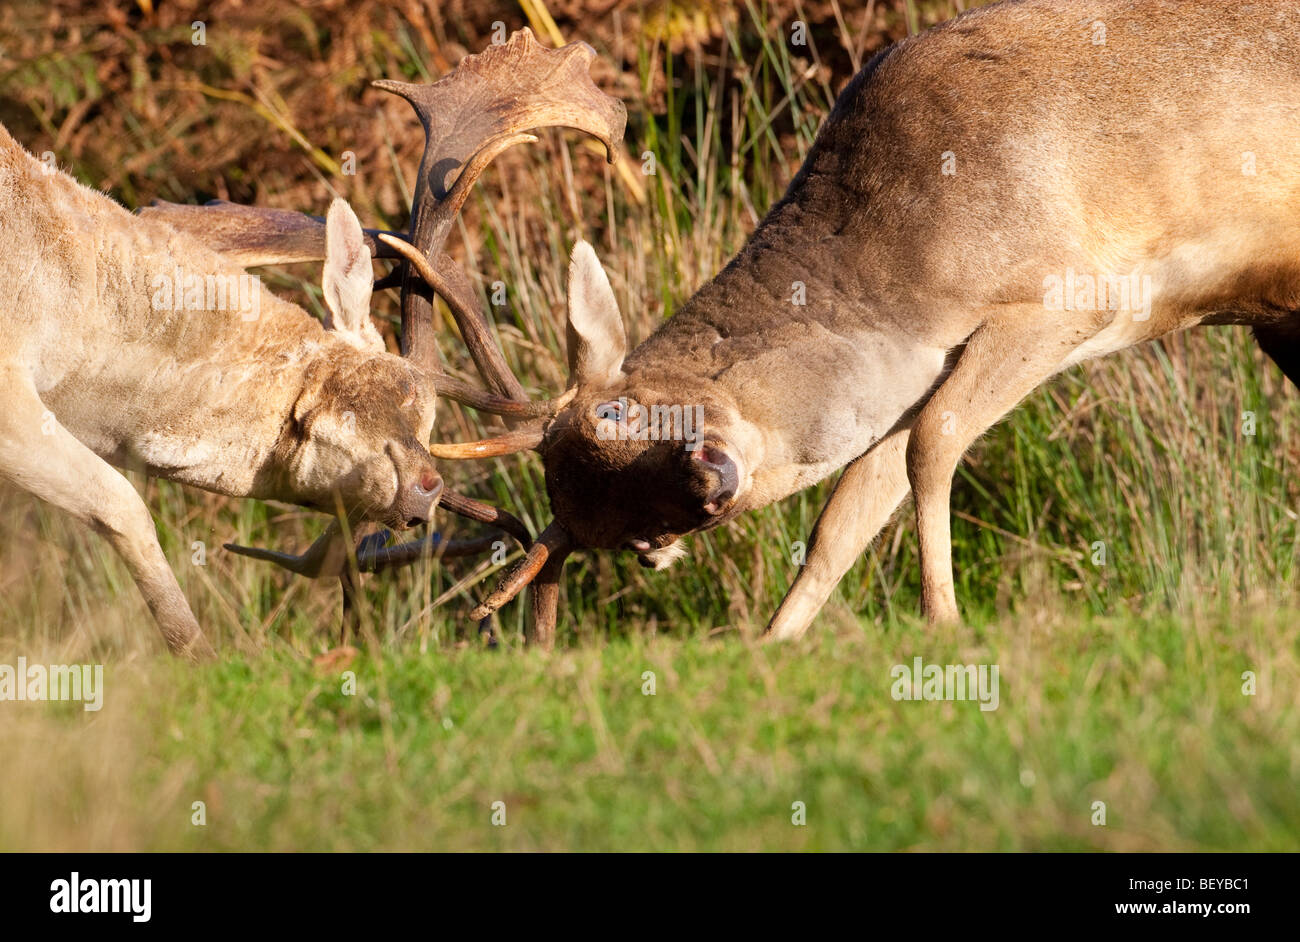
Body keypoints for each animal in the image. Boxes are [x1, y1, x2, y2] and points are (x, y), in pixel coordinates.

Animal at [375, 0, 1300, 646]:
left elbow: (935, 441)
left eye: (615, 411)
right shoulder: (913, 375)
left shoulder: (1073, 287)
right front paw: (776, 642)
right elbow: (845, 516)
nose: (711, 481)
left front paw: (943, 620)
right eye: (643, 541)